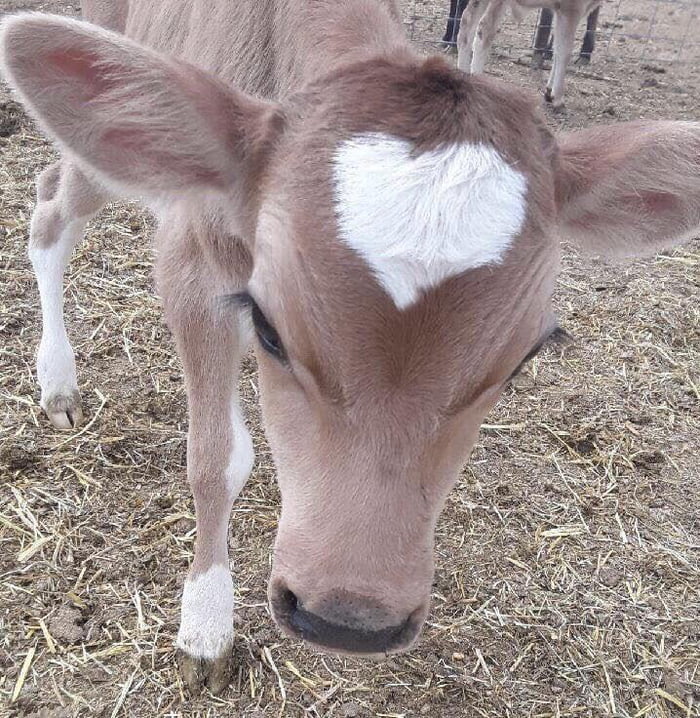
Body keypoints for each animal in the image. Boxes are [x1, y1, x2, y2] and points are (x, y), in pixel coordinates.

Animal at [1, 0, 699, 695]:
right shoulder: (192, 257)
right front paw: (204, 630)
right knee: (50, 202)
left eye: (522, 359)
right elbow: (215, 457)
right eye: (268, 328)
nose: (348, 619)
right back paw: (57, 382)